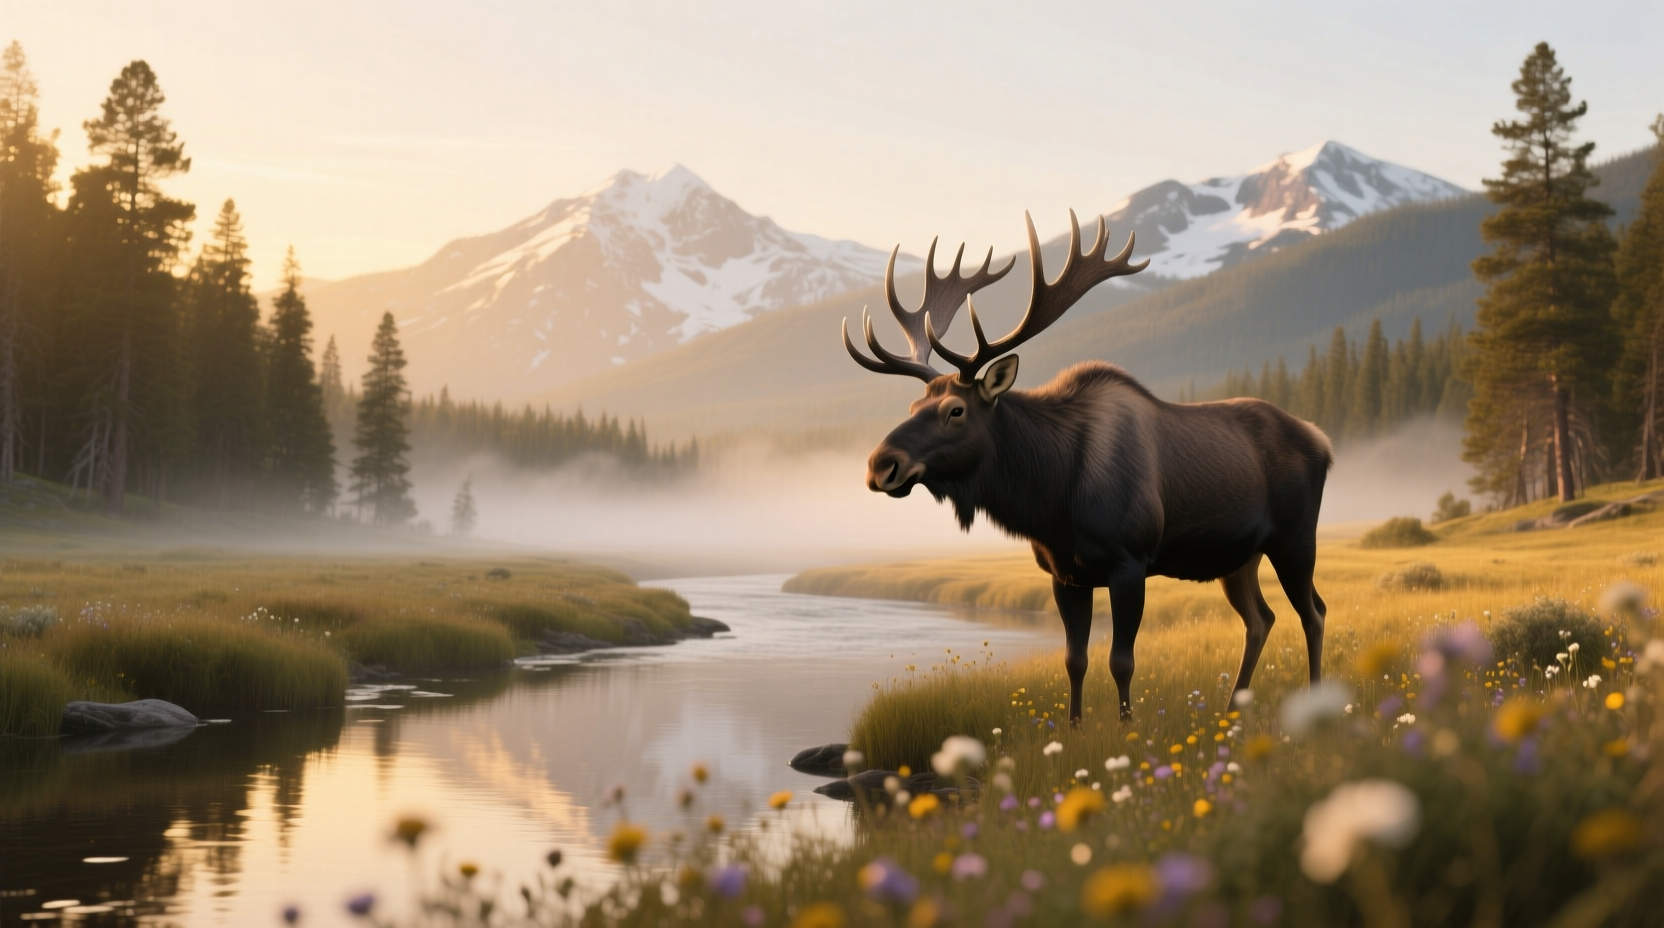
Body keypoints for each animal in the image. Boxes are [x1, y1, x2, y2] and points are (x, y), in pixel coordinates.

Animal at [842, 211, 1333, 724]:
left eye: (955, 410)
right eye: (914, 405)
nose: (881, 465)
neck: (1052, 498)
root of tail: (1323, 440)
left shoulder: (1130, 562)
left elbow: (1122, 660)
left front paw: (1126, 725)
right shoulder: (1063, 572)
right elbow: (1074, 659)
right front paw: (1075, 727)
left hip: (1295, 539)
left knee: (1313, 612)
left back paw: (1317, 700)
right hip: (1239, 556)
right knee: (1261, 619)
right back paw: (1232, 708)